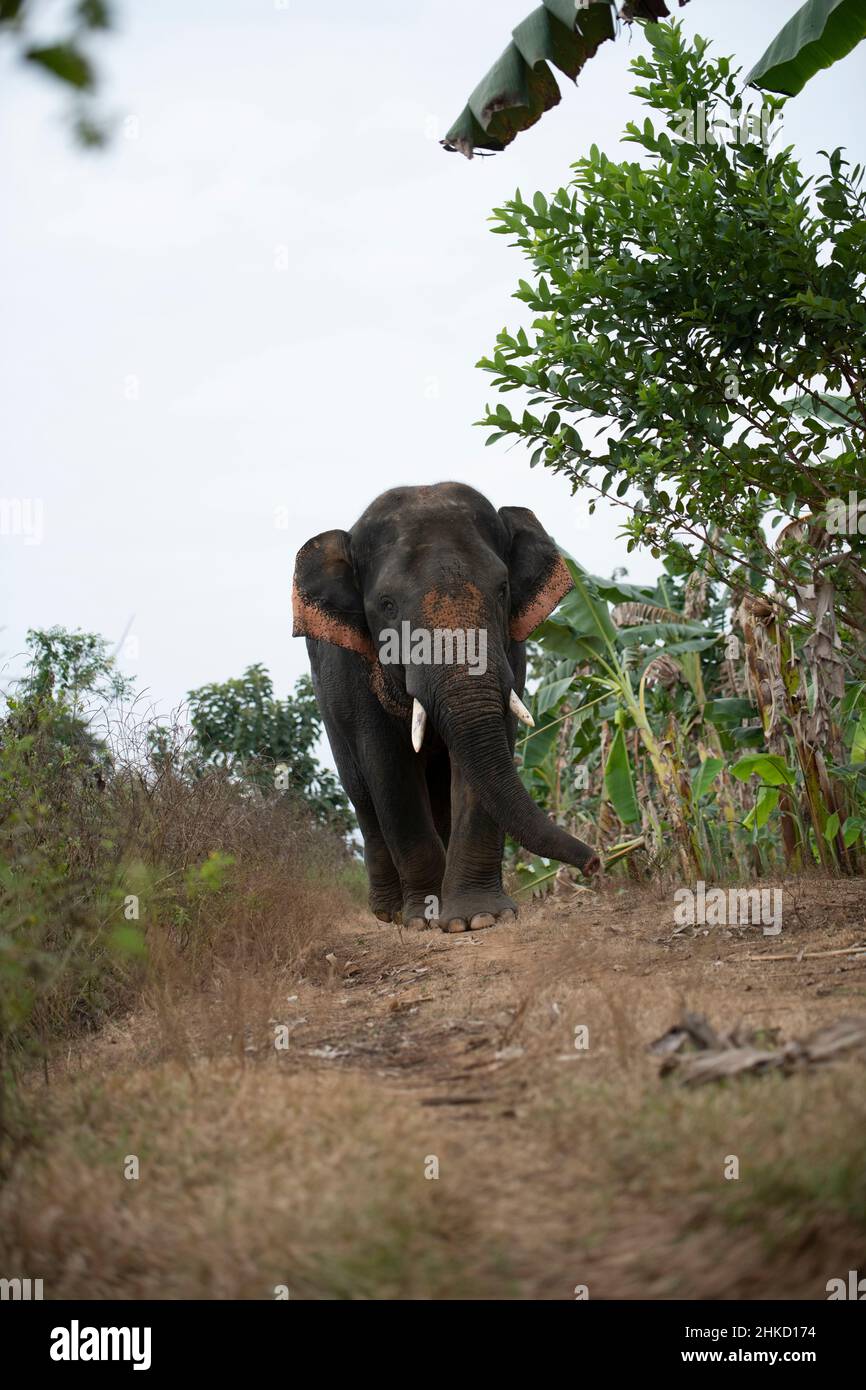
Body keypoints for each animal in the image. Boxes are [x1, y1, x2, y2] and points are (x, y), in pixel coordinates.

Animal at [292, 481, 599, 933]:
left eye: (503, 588)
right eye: (386, 604)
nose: (595, 863)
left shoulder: (513, 652)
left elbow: (482, 758)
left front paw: (478, 918)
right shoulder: (355, 673)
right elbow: (389, 769)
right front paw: (424, 920)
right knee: (362, 794)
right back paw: (389, 913)